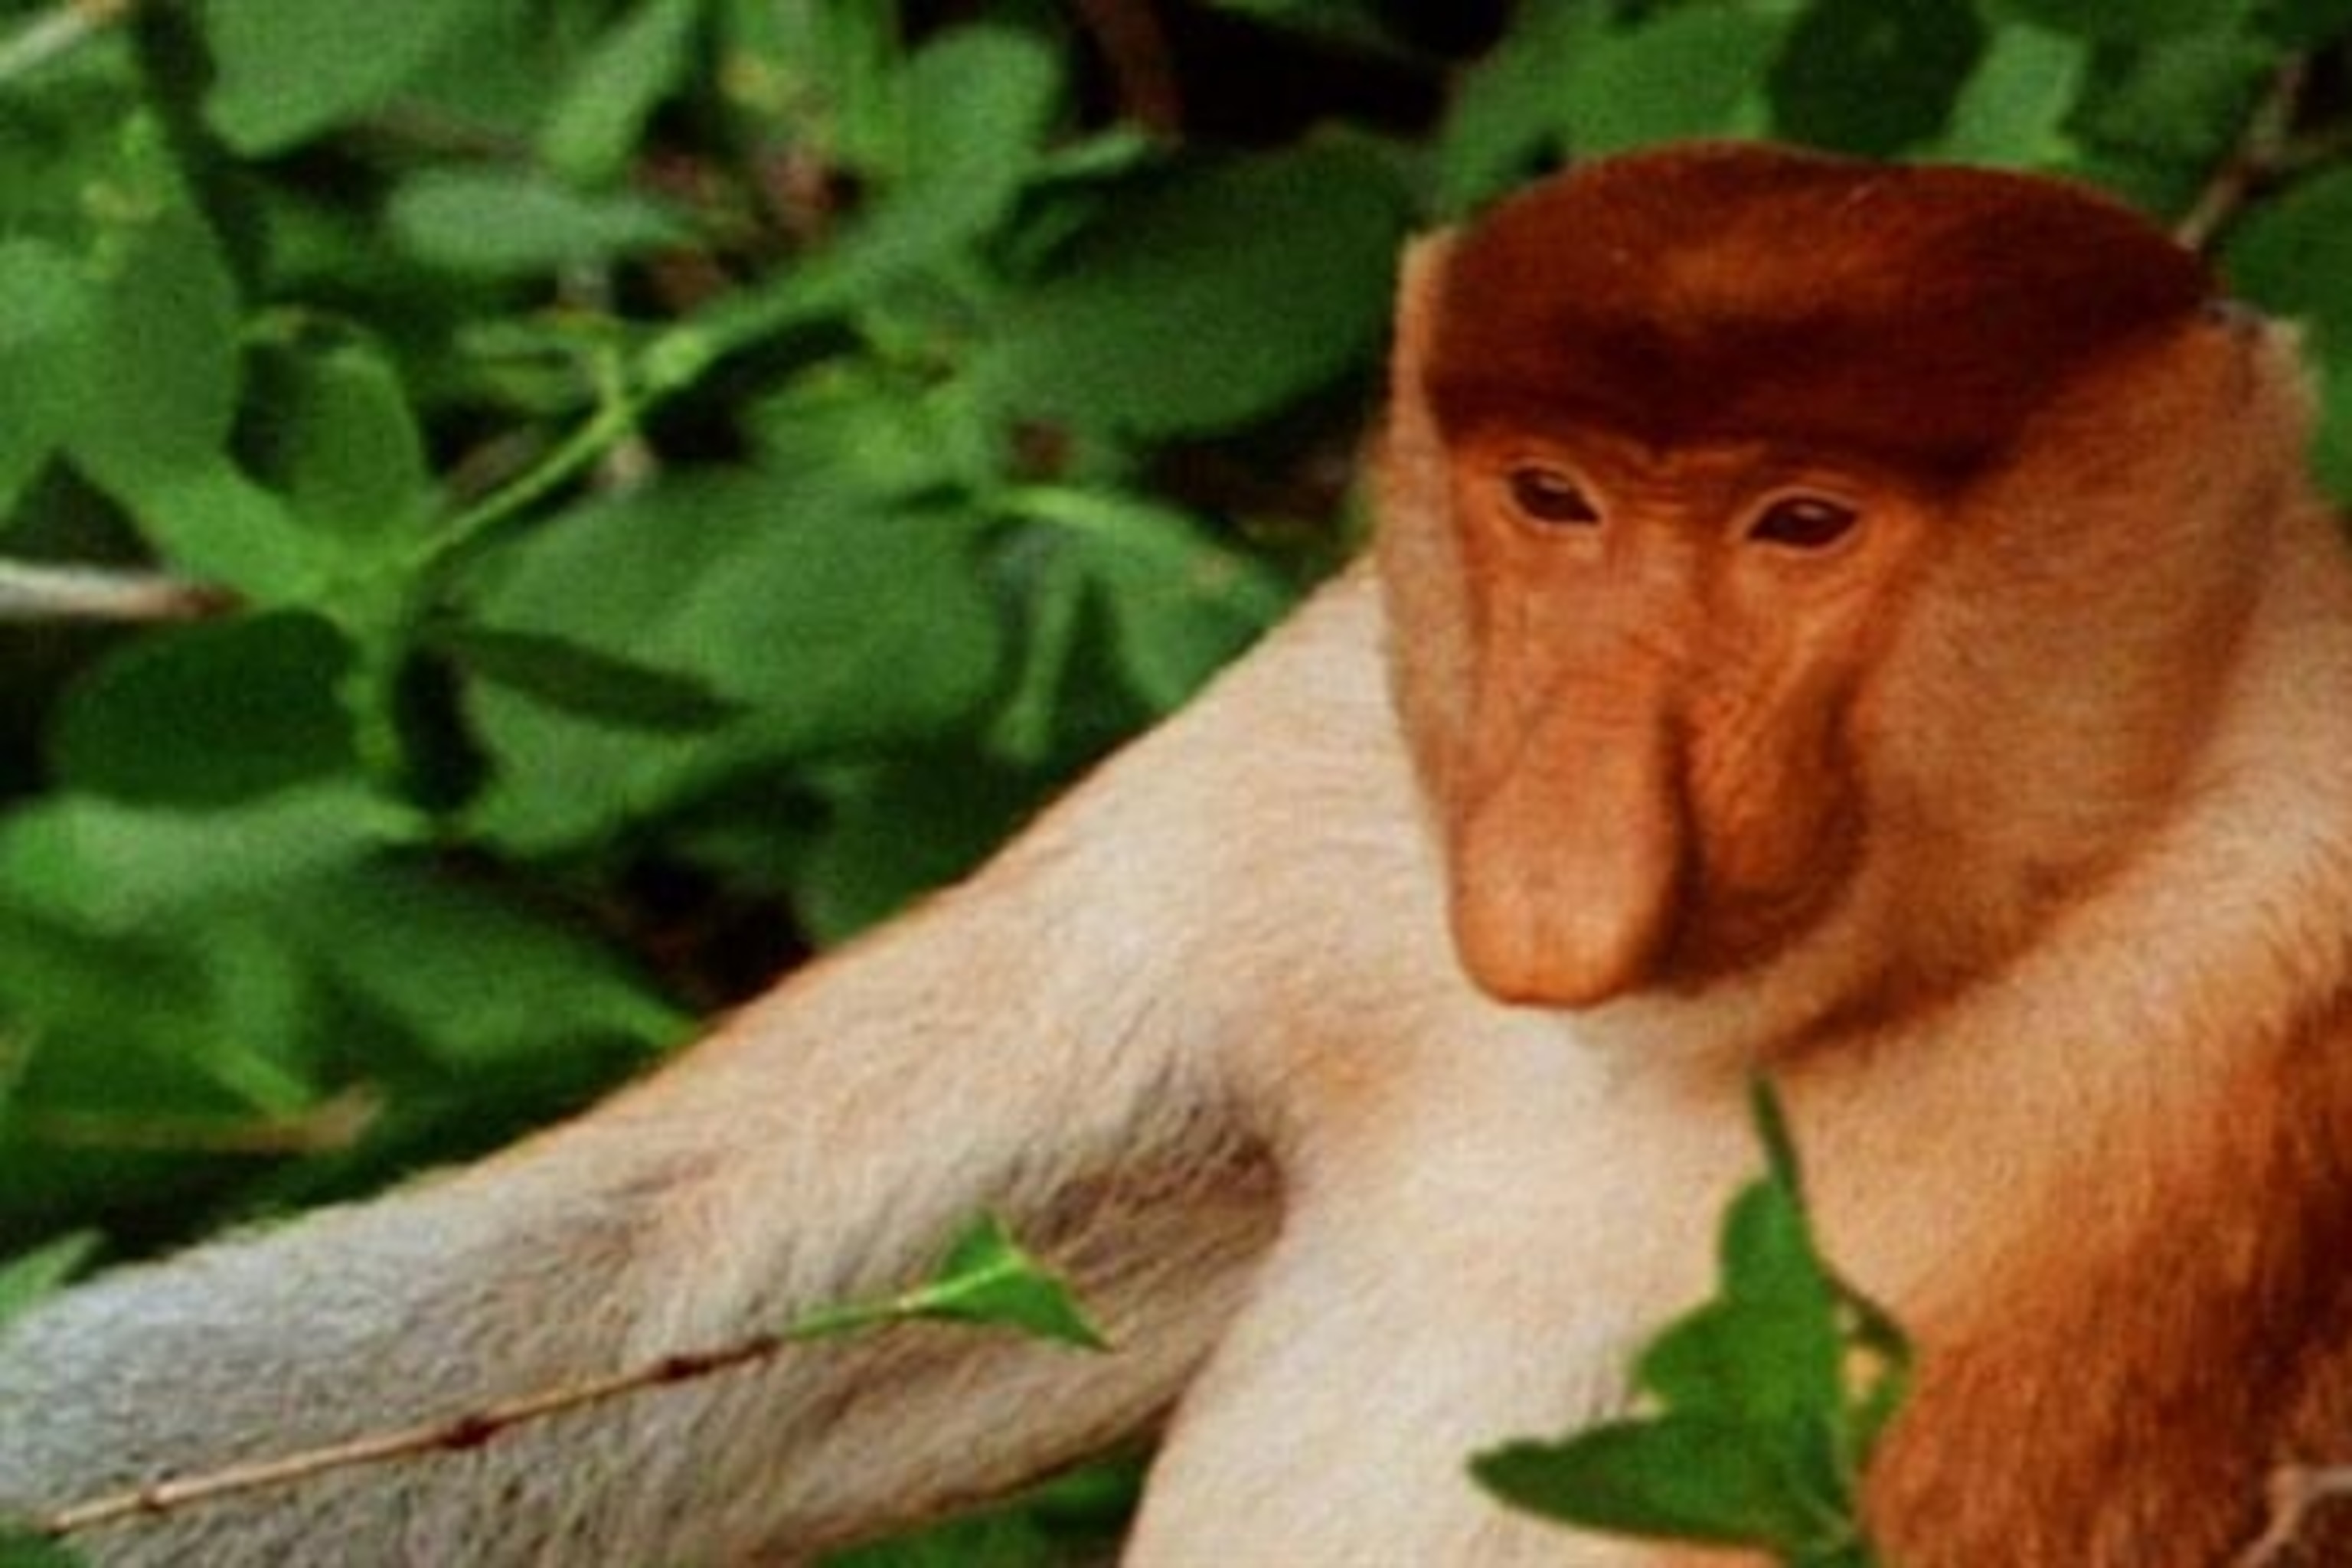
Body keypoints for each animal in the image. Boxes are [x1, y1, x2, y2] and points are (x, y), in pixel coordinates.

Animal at [8, 140, 2352, 1567]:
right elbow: (624, 1287)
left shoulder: (2281, 919)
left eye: (1803, 524)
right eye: (1553, 498)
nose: (1563, 851)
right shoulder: (1298, 785)